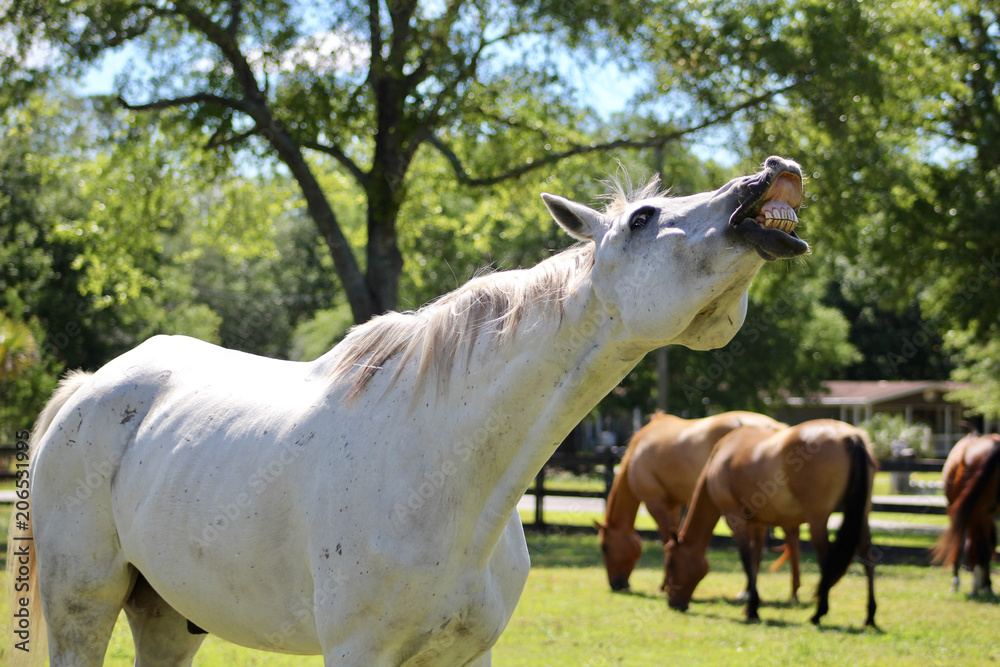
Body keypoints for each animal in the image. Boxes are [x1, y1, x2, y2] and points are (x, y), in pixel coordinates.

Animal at [596, 411, 799, 596]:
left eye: (605, 547)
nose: (616, 584)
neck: (637, 451)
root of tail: (774, 427)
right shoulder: (673, 505)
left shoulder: (656, 503)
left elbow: (666, 540)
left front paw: (664, 586)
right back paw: (772, 591)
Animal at [663, 419, 878, 627]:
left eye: (671, 563)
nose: (673, 603)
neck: (719, 458)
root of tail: (849, 436)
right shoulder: (758, 523)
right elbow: (755, 560)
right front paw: (751, 605)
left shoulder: (735, 518)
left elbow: (746, 559)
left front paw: (753, 609)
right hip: (862, 516)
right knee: (867, 557)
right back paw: (870, 617)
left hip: (817, 519)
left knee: (827, 560)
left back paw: (818, 613)